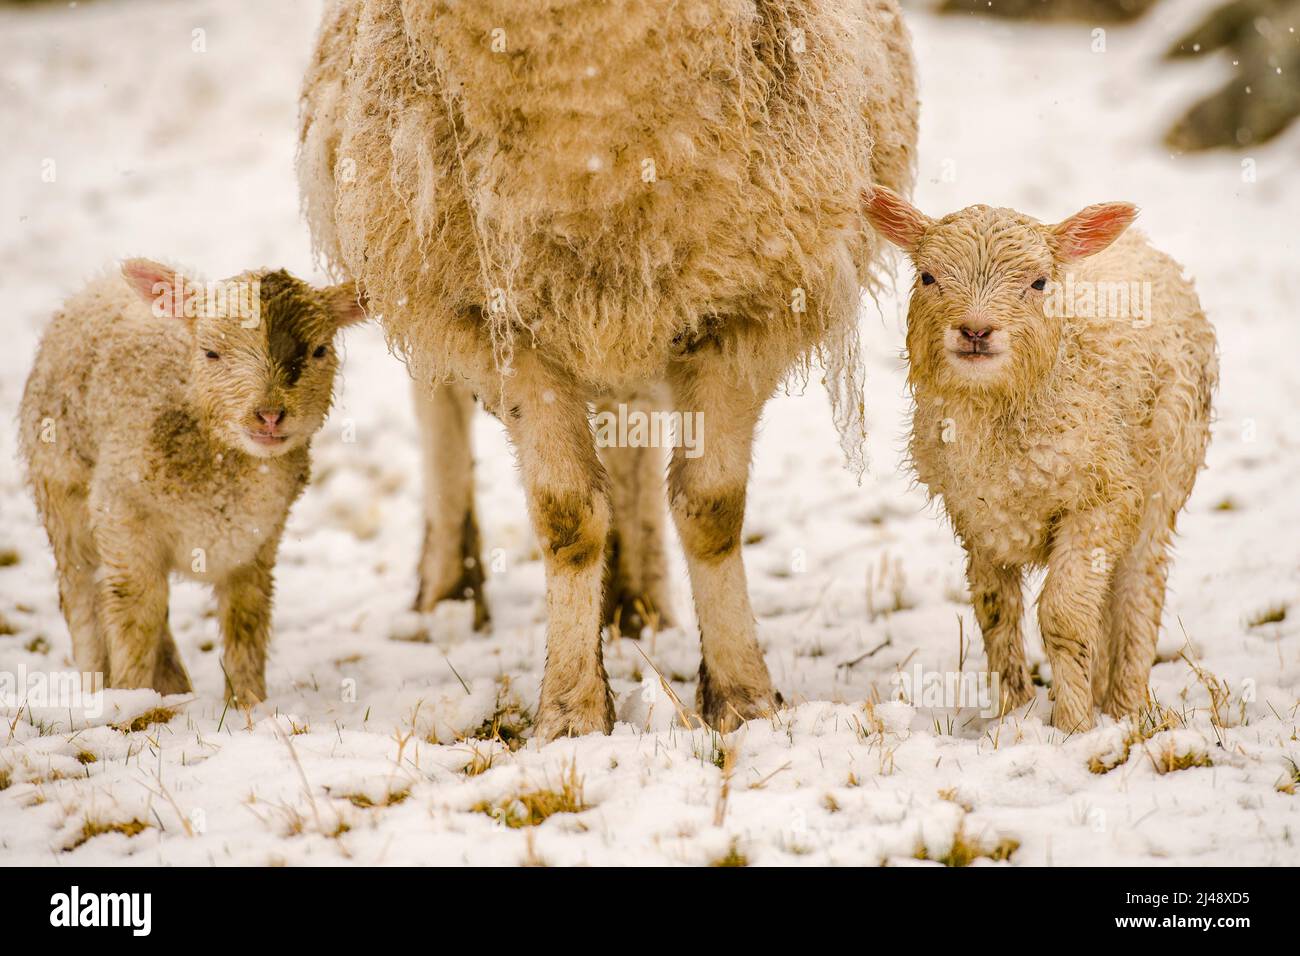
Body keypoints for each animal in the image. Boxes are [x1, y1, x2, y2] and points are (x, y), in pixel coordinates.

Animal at [18, 259, 364, 703]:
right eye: (210, 352)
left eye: (320, 350)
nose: (269, 416)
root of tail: (95, 284)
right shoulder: (121, 514)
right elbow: (137, 614)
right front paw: (131, 699)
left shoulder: (259, 539)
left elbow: (246, 618)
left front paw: (249, 705)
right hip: (60, 486)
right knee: (81, 593)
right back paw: (101, 687)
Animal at [298, 0, 918, 739]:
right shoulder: (495, 322)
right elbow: (565, 516)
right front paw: (573, 710)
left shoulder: (746, 311)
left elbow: (711, 511)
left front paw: (742, 697)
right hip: (419, 271)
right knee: (438, 406)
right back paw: (449, 590)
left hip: (631, 305)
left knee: (630, 422)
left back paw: (635, 597)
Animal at [864, 186, 1217, 731]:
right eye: (926, 276)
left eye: (1038, 282)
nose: (975, 331)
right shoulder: (977, 515)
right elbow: (995, 611)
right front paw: (1014, 713)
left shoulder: (1103, 498)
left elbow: (1064, 615)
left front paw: (1072, 726)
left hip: (1165, 480)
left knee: (1139, 586)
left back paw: (1125, 707)